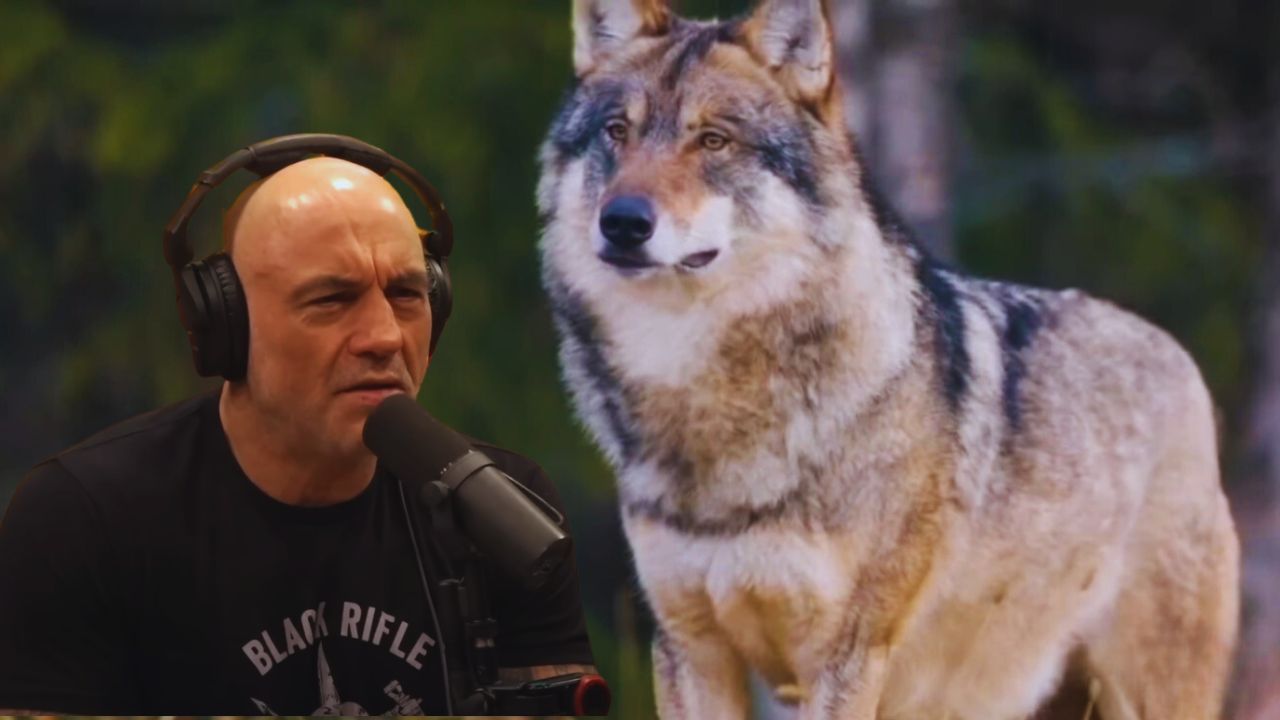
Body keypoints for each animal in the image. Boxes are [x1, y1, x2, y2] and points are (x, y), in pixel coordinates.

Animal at [537, 1, 1240, 717]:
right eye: (617, 132)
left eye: (713, 141)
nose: (622, 222)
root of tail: (1177, 356)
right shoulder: (689, 649)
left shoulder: (843, 659)